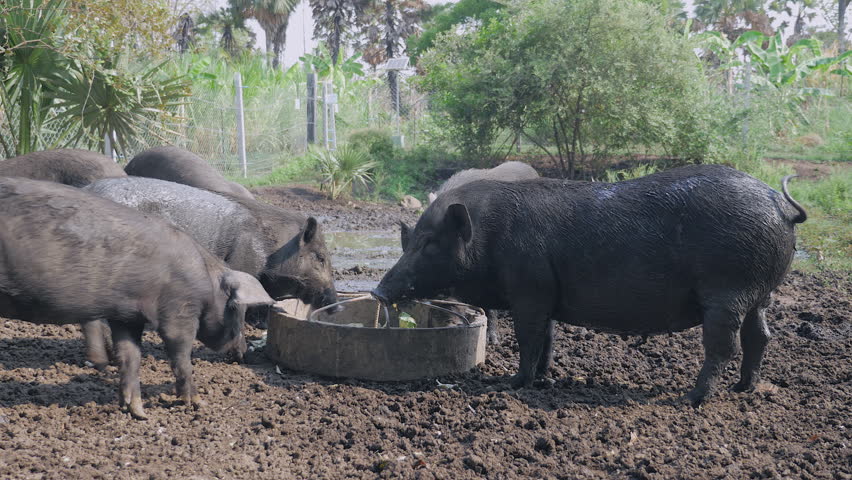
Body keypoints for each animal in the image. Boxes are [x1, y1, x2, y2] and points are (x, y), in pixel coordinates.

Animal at [0, 177, 274, 419]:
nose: (243, 353)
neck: (207, 282)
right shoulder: (178, 311)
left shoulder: (125, 316)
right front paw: (199, 404)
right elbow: (181, 355)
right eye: (237, 310)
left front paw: (137, 412)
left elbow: (130, 356)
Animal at [374, 164, 807, 406]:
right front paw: (544, 379)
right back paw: (743, 389)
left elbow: (528, 338)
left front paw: (512, 384)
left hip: (727, 291)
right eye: (411, 239)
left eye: (430, 243)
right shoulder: (545, 293)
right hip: (760, 292)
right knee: (760, 336)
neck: (489, 236)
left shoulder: (529, 290)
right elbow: (547, 337)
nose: (378, 291)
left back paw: (691, 398)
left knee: (724, 345)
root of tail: (780, 206)